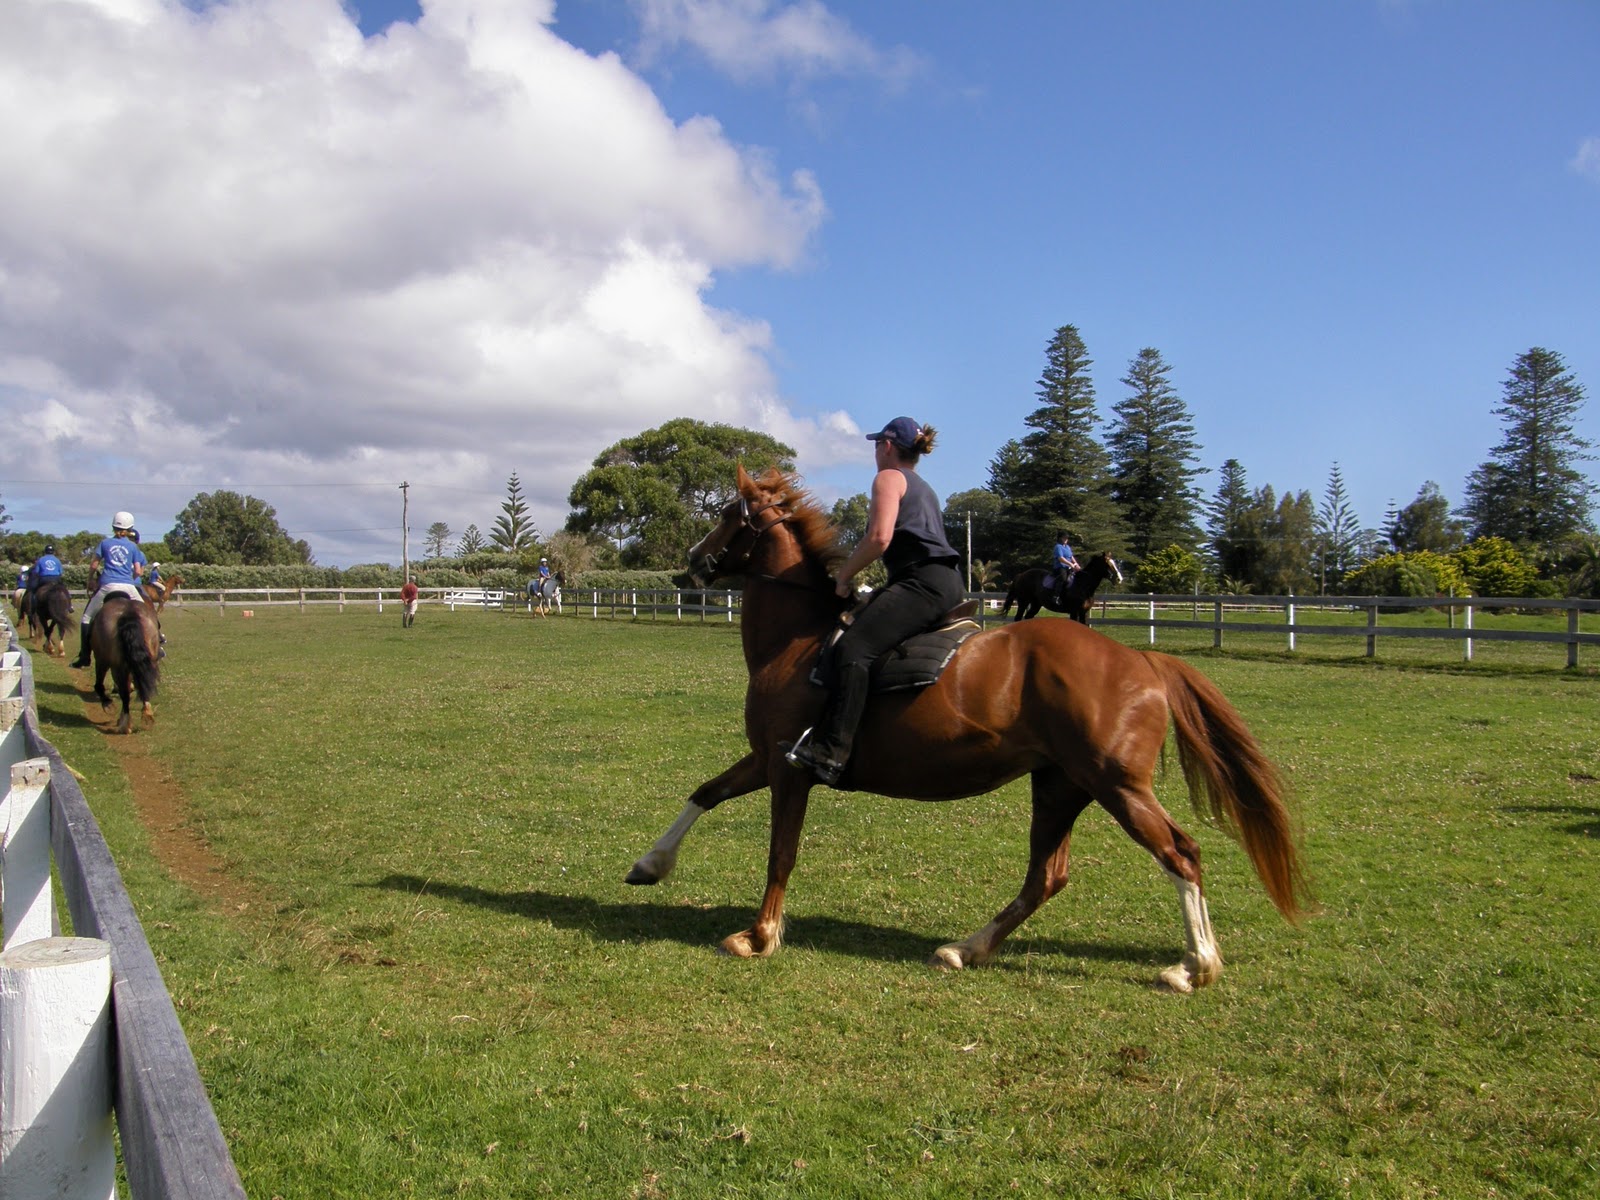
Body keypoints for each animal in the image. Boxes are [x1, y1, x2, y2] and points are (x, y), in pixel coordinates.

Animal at [90, 595, 161, 734]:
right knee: (143, 684)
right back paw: (146, 714)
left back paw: (125, 724)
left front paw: (108, 705)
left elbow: (101, 686)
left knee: (124, 692)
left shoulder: (104, 661)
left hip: (113, 664)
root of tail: (128, 612)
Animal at [624, 466, 1308, 993]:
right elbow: (705, 793)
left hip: (1116, 787)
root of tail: (1141, 660)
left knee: (1180, 855)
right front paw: (650, 864)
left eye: (729, 514)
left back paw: (1194, 967)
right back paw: (967, 948)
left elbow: (780, 852)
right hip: (1061, 786)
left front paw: (760, 935)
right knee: (1046, 876)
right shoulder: (768, 757)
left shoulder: (790, 770)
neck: (800, 639)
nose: (693, 564)